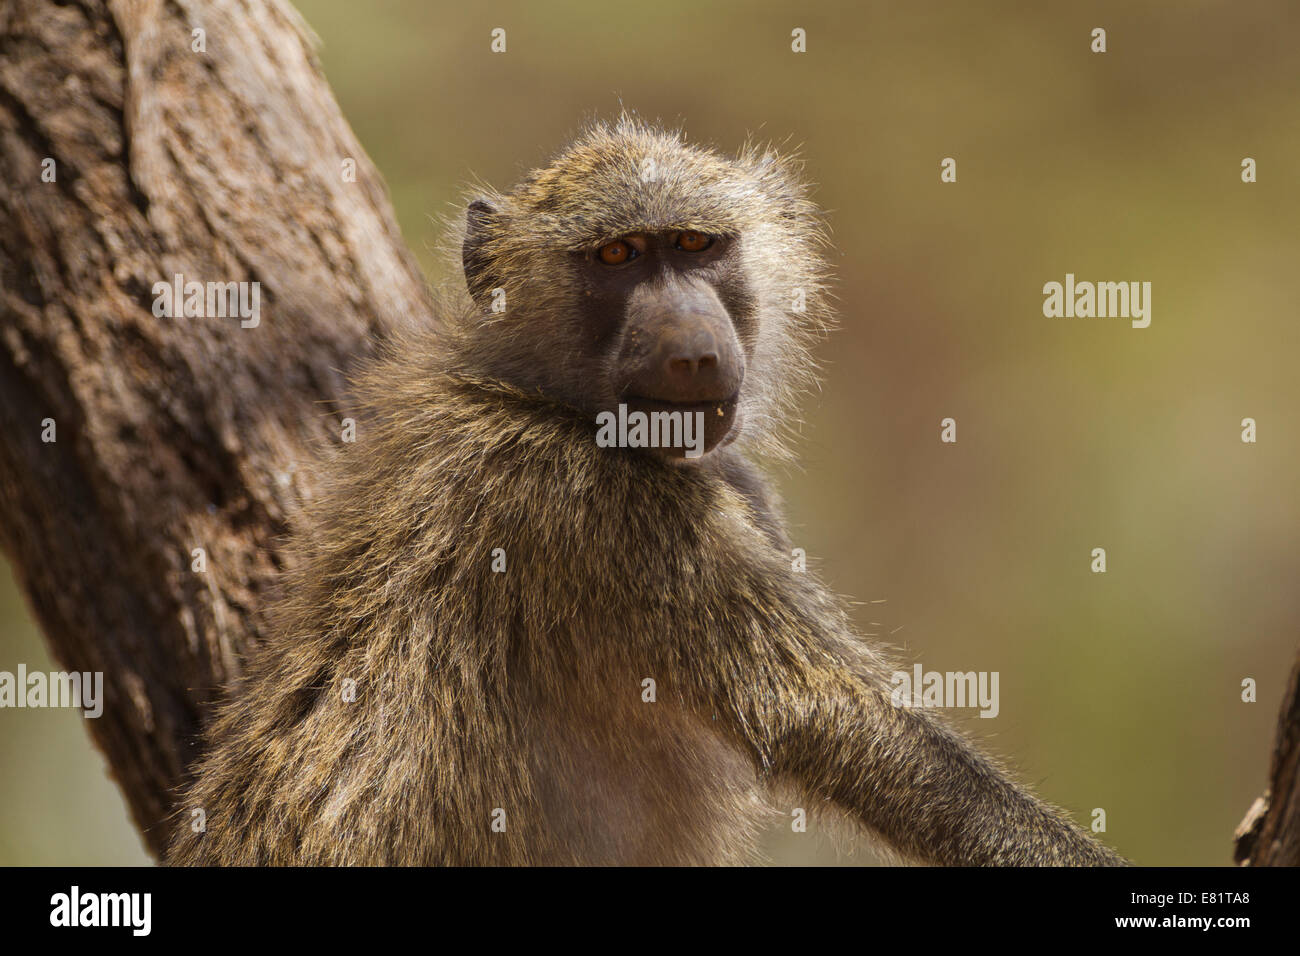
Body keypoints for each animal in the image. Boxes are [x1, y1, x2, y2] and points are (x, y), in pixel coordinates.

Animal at [167, 115, 1127, 866]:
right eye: (619, 255)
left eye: (697, 245)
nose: (693, 347)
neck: (549, 400)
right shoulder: (599, 510)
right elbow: (834, 723)